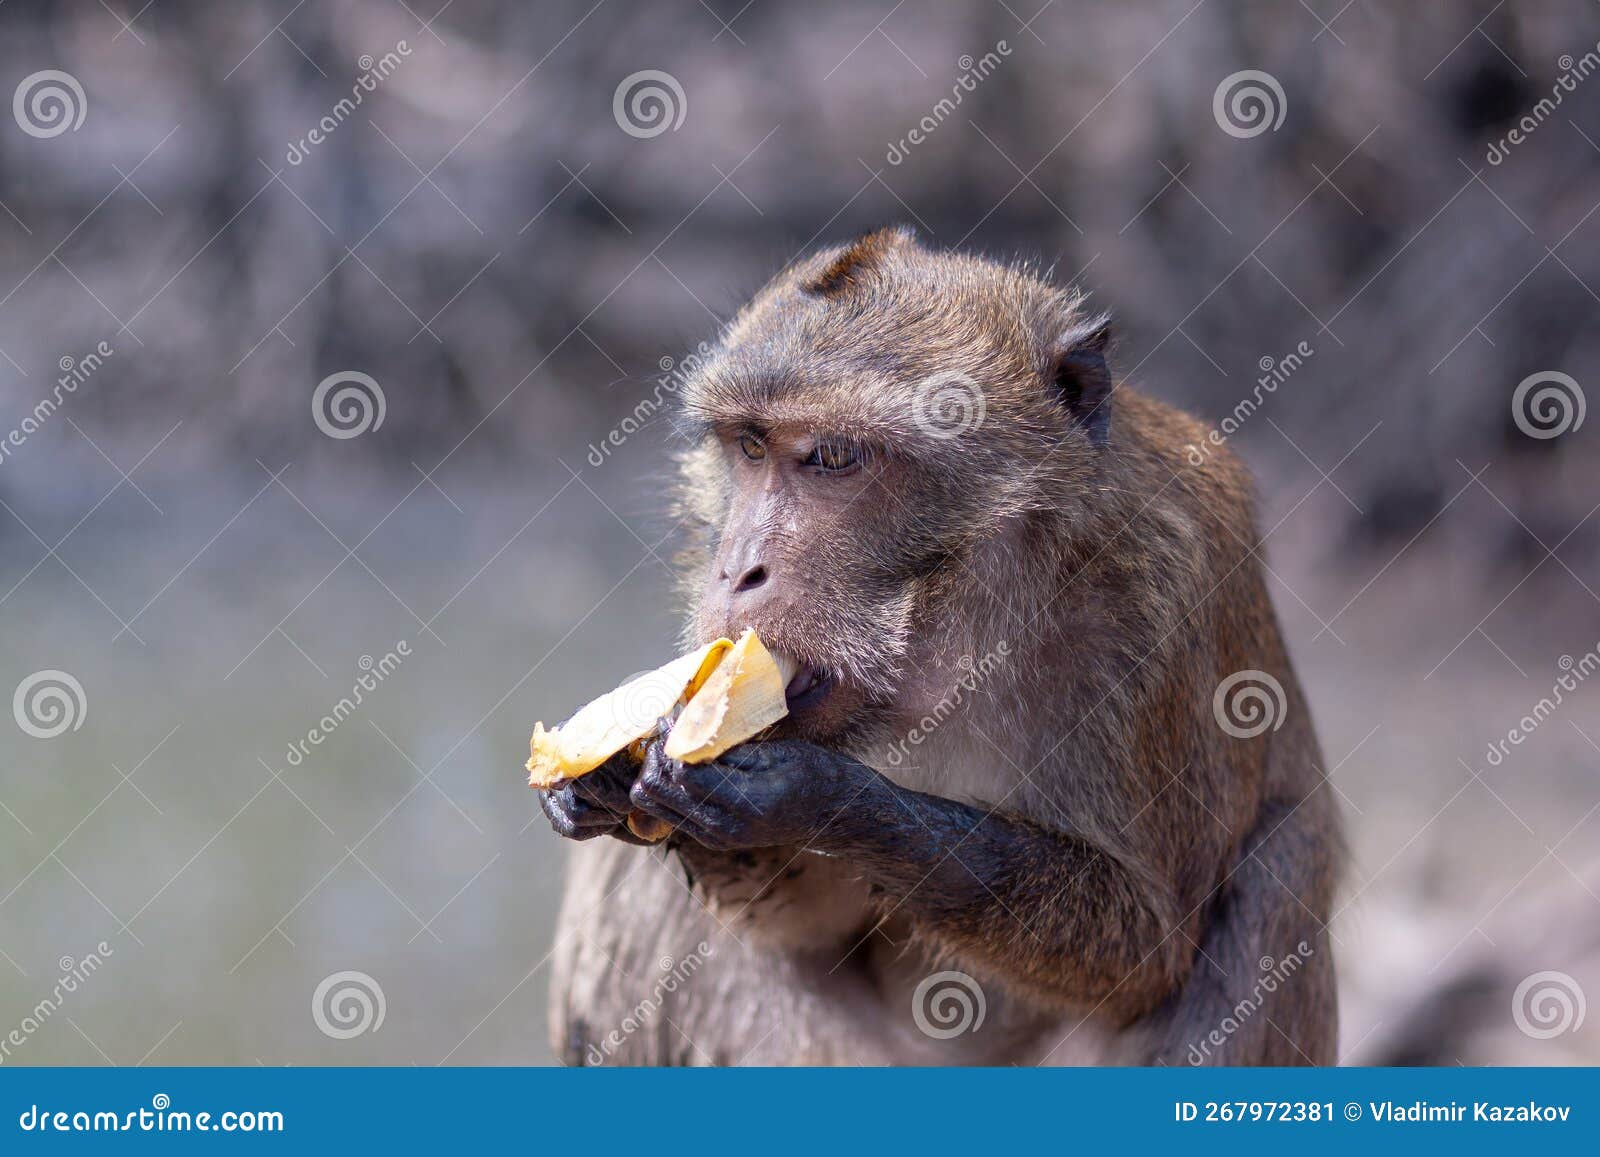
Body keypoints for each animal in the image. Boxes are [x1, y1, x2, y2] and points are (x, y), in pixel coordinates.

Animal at [537, 225, 1339, 1066]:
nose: (737, 569)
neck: (970, 627)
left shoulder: (1171, 602)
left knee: (1281, 866)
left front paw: (819, 799)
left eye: (832, 458)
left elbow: (1147, 950)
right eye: (751, 446)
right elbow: (809, 923)